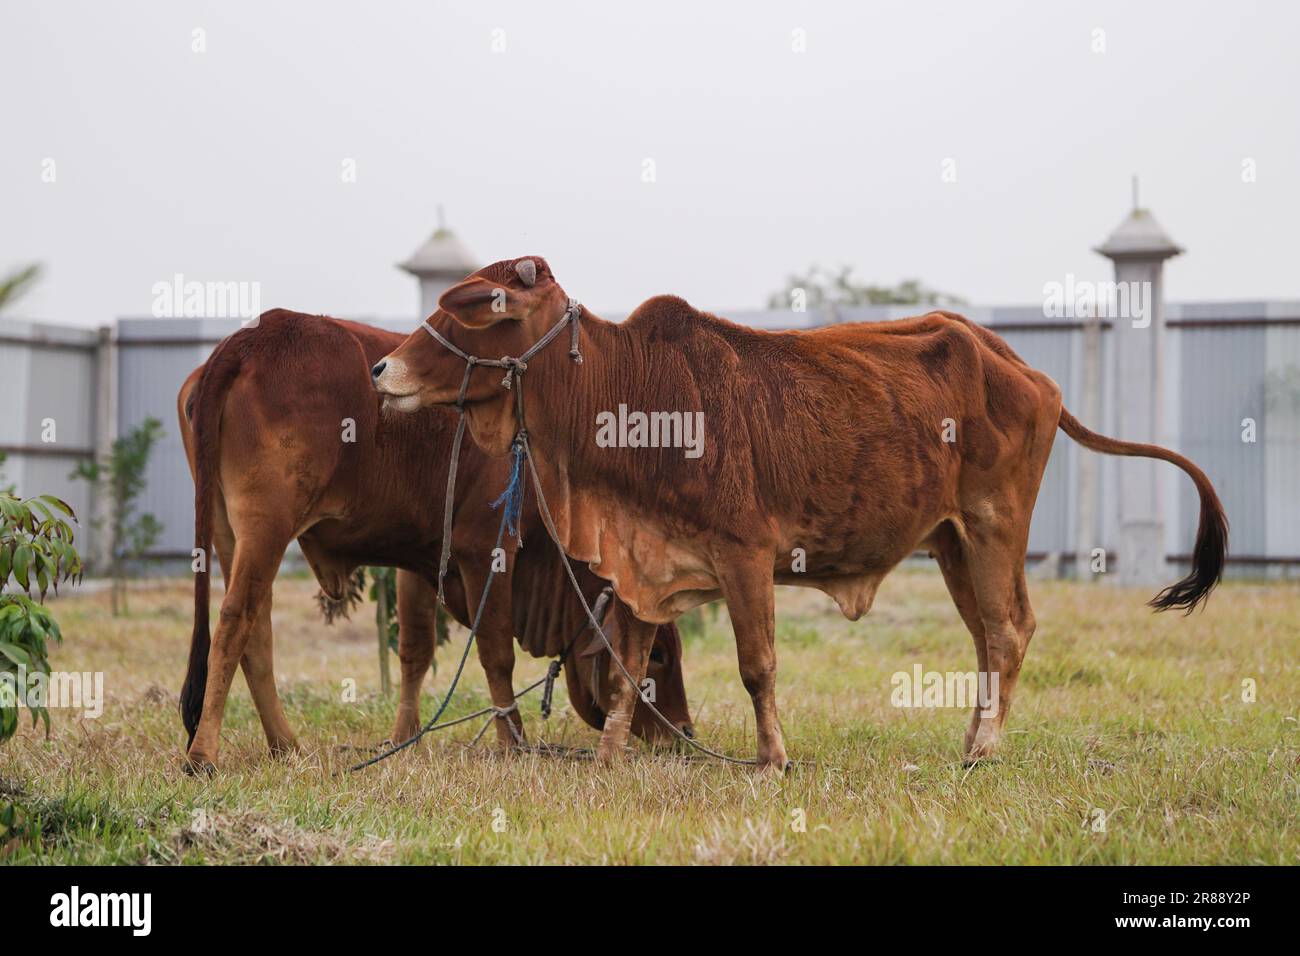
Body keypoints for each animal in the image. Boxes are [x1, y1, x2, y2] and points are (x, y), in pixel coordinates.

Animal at [178, 309, 694, 773]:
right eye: (660, 656)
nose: (684, 733)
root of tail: (247, 341)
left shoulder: (424, 561)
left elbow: (415, 651)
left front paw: (404, 738)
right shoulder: (488, 550)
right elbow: (496, 652)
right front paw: (513, 740)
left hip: (230, 530)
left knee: (257, 633)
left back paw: (285, 745)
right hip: (266, 525)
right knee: (234, 623)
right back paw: (203, 755)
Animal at [371, 256, 1228, 772]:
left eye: (480, 306)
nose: (382, 369)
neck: (632, 395)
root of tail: (1016, 363)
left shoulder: (745, 555)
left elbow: (758, 667)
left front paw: (773, 758)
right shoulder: (644, 558)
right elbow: (626, 667)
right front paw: (612, 757)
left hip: (993, 525)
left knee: (1011, 630)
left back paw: (983, 749)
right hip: (952, 540)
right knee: (989, 635)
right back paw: (970, 737)